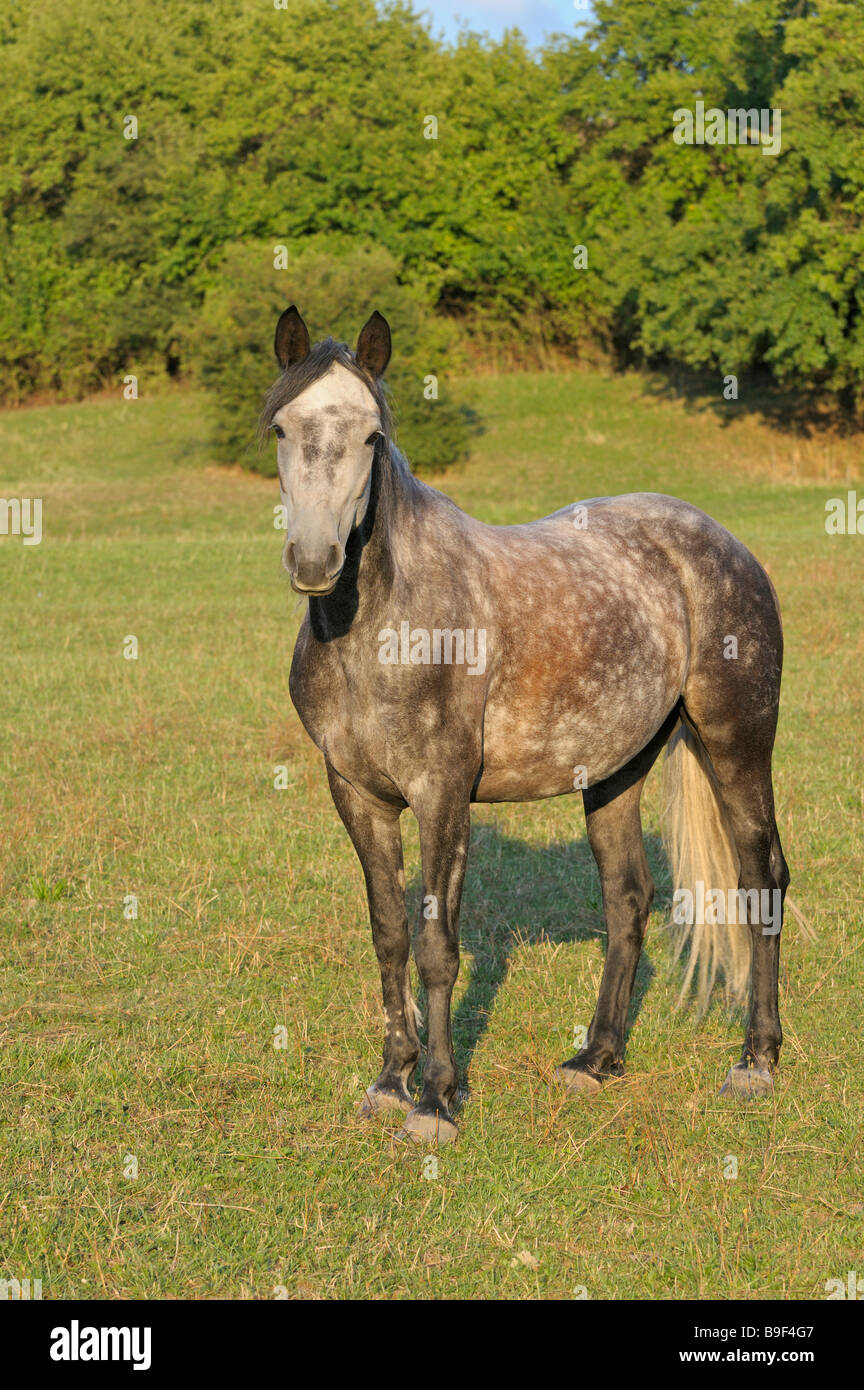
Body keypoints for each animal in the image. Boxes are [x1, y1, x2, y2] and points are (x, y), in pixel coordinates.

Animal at [263, 305, 790, 1145]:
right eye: (282, 428)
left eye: (373, 436)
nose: (315, 561)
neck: (382, 626)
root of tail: (721, 542)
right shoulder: (357, 794)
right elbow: (388, 934)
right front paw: (389, 1080)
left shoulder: (443, 794)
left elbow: (437, 946)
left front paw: (436, 1101)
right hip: (615, 771)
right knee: (628, 897)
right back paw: (597, 1059)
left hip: (736, 742)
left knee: (761, 877)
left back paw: (755, 1062)